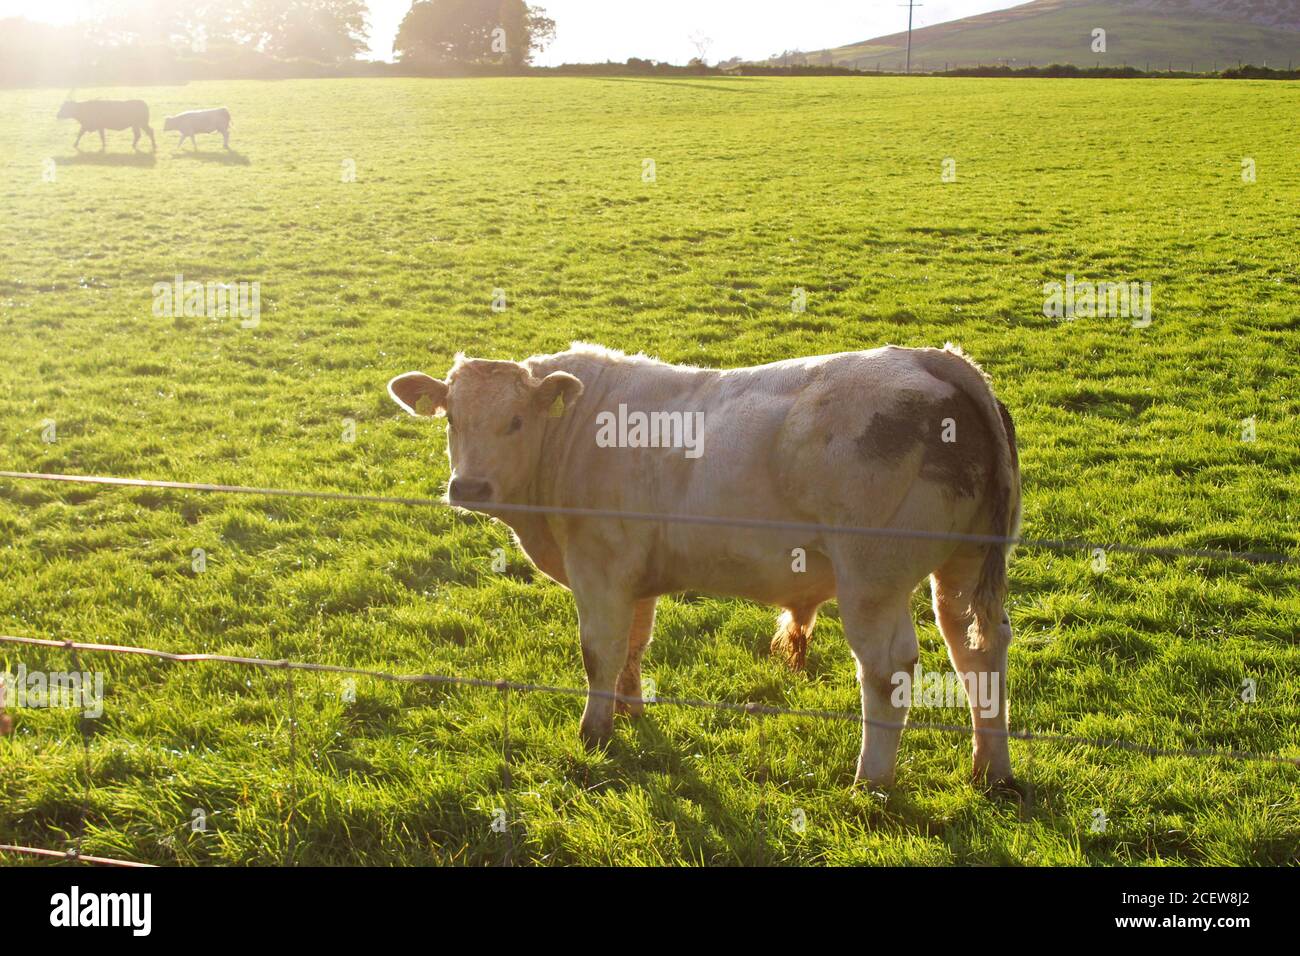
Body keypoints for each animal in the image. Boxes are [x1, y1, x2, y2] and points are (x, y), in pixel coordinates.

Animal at [388, 342, 1021, 790]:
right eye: (451, 419)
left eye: (515, 422)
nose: (469, 486)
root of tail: (930, 359)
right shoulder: (635, 578)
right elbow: (635, 645)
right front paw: (630, 710)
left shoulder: (599, 570)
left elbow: (600, 653)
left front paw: (594, 733)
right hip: (962, 567)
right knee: (977, 652)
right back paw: (990, 770)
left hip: (872, 579)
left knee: (888, 670)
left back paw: (871, 780)